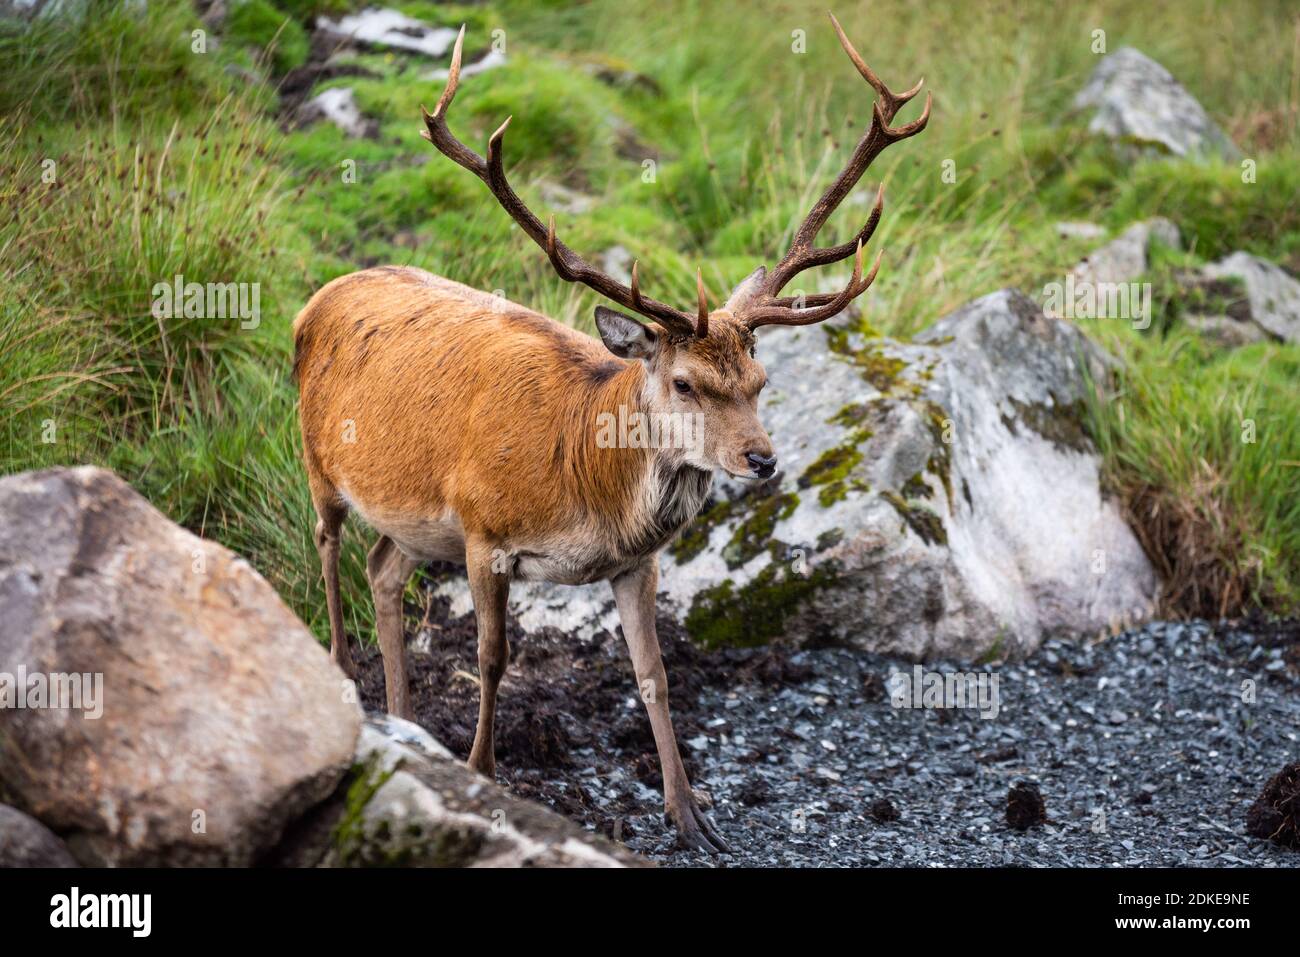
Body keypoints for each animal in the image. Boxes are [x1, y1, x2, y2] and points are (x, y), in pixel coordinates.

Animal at [293, 13, 929, 852]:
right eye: (686, 382)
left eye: (761, 381)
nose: (761, 459)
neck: (585, 487)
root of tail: (317, 297)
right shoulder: (484, 531)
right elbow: (492, 658)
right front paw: (484, 775)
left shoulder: (636, 561)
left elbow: (654, 674)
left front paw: (690, 813)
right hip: (319, 462)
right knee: (331, 548)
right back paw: (345, 676)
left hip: (411, 519)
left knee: (383, 566)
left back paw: (404, 721)